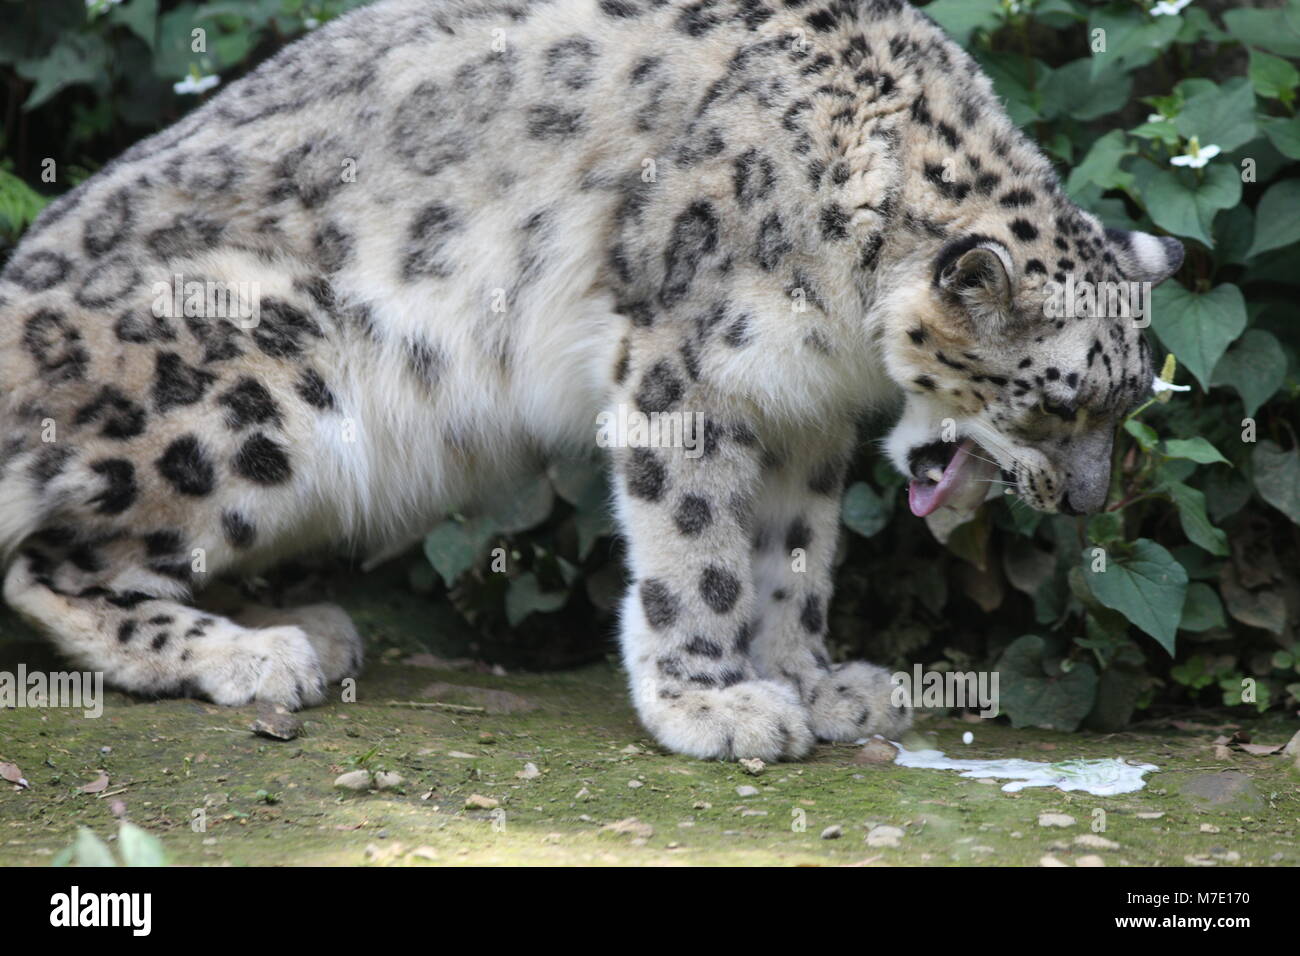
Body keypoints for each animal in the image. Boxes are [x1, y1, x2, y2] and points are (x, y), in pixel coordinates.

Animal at [0, 0, 1183, 761]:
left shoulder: (803, 412)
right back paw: (255, 655)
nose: (1084, 500)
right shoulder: (685, 364)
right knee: (52, 562)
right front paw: (713, 704)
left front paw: (811, 681)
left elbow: (794, 554)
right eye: (1054, 402)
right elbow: (699, 550)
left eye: (1128, 406)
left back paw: (309, 624)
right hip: (260, 373)